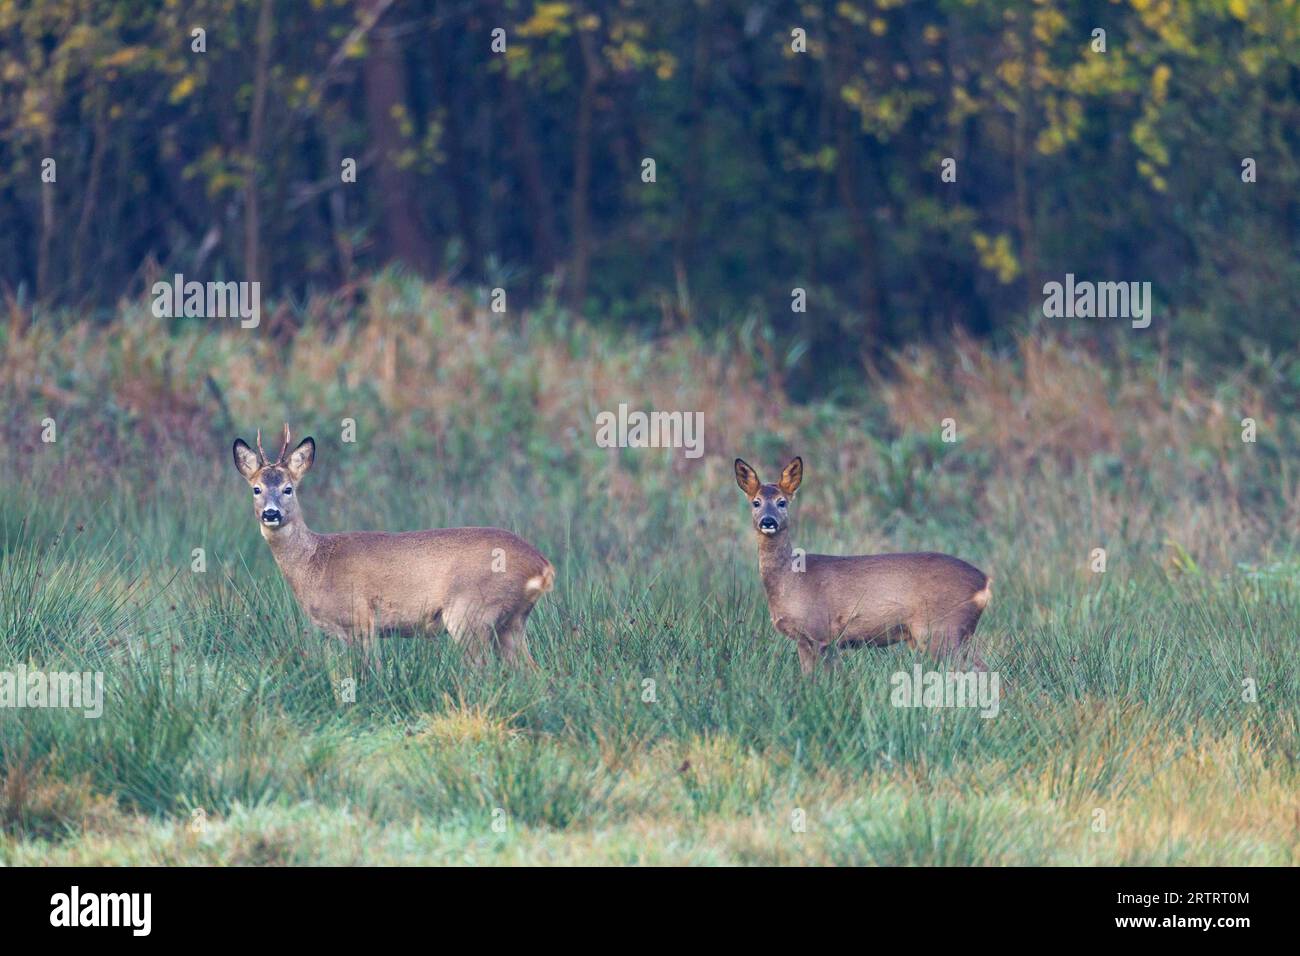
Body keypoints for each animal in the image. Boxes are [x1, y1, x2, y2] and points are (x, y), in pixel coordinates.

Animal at [232, 424, 554, 667]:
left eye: (288, 489)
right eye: (256, 489)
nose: (271, 513)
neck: (316, 564)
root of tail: (543, 566)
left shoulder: (361, 618)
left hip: (471, 612)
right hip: (512, 623)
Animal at [734, 456, 992, 675]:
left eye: (782, 502)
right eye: (756, 502)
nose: (768, 521)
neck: (791, 578)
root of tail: (984, 583)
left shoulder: (819, 631)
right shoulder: (808, 640)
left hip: (943, 629)